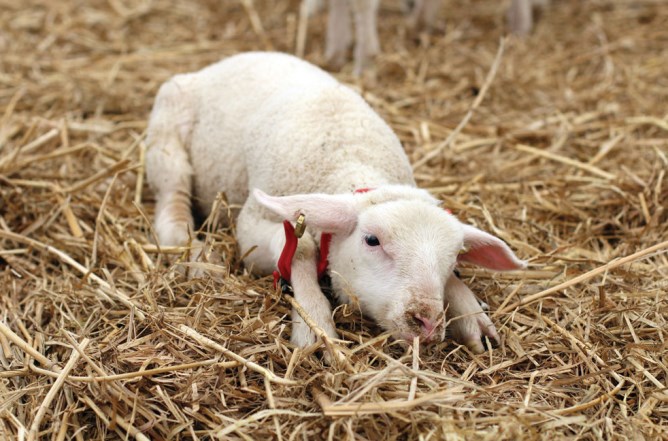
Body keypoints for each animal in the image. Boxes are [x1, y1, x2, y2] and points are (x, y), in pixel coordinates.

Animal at [145, 51, 526, 353]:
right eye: (372, 240)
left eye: (453, 258)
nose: (428, 322)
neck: (350, 161)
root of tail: (222, 63)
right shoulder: (254, 223)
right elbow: (299, 250)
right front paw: (314, 323)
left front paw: (470, 312)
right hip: (167, 138)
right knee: (171, 207)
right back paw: (197, 255)